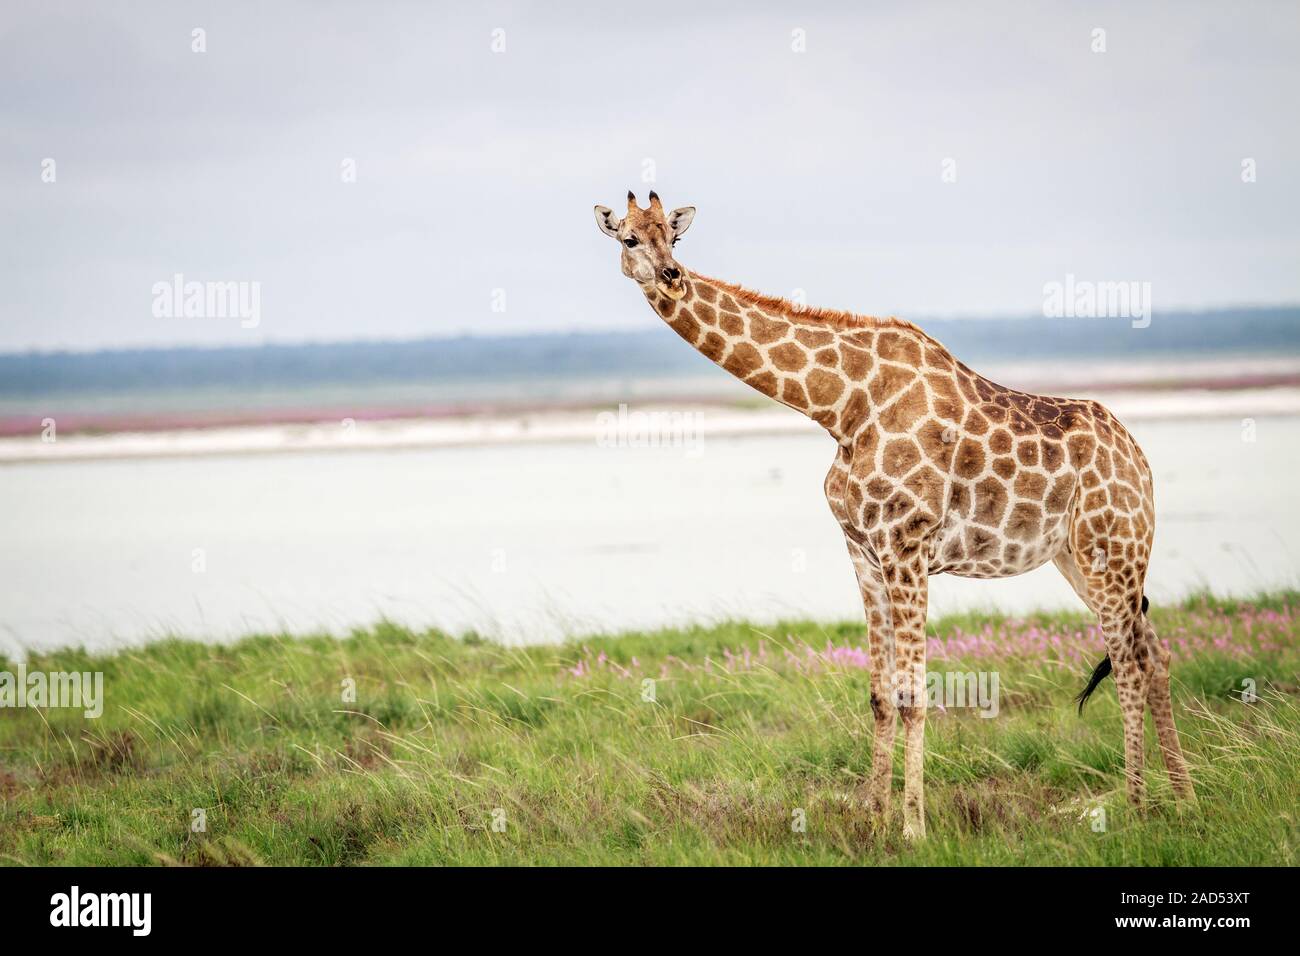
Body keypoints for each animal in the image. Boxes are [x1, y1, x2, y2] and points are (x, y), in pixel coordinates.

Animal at [594, 192, 1195, 838]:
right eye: (630, 239)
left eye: (674, 237)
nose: (671, 275)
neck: (839, 407)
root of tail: (1140, 459)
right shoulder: (863, 550)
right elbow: (881, 695)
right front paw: (875, 817)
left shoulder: (906, 545)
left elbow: (915, 696)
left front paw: (913, 827)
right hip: (1081, 559)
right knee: (1154, 655)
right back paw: (1184, 799)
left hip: (1112, 547)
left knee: (1129, 664)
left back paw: (1136, 807)